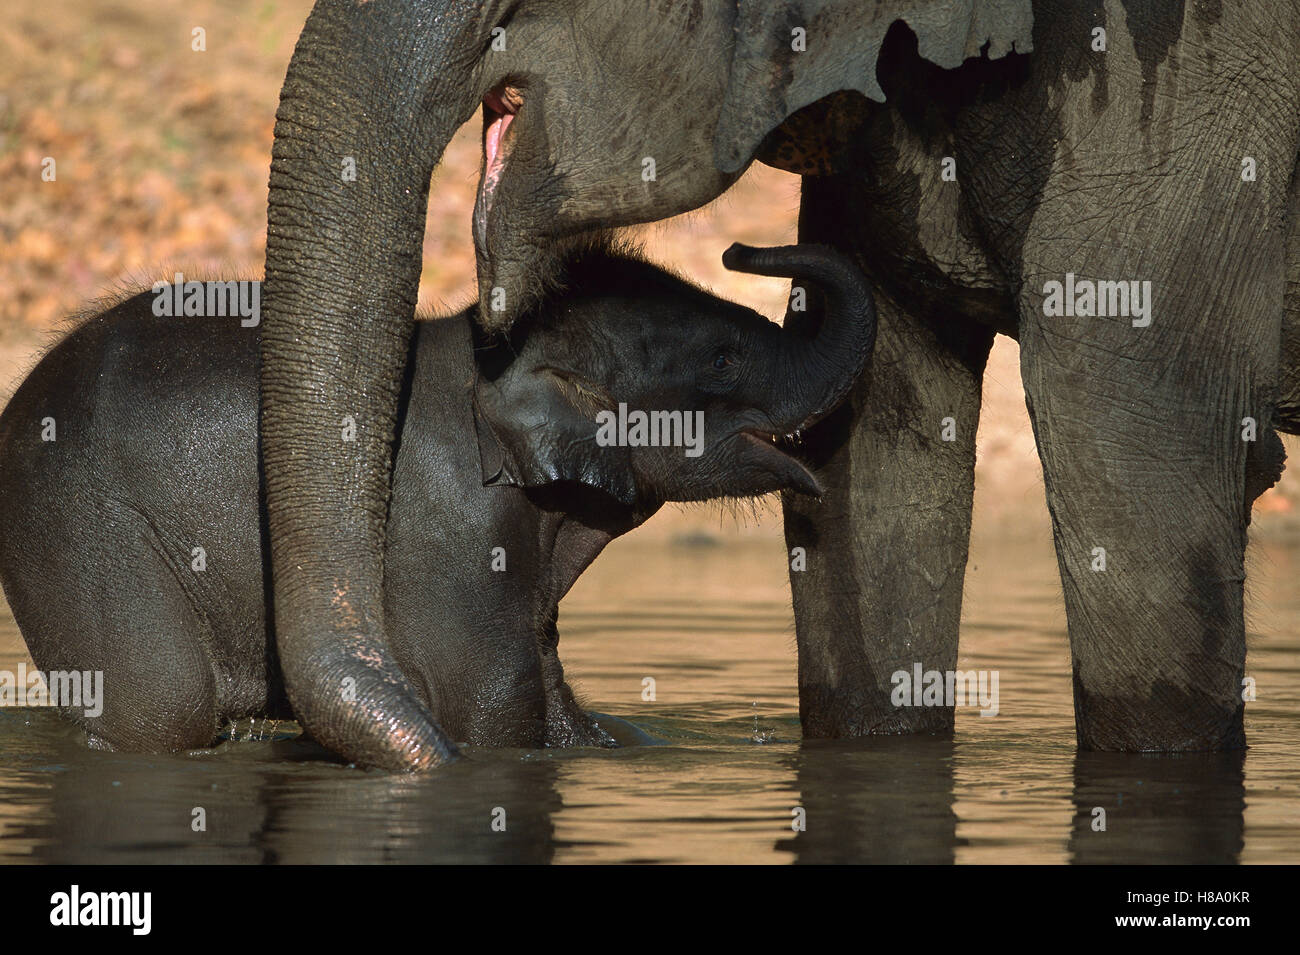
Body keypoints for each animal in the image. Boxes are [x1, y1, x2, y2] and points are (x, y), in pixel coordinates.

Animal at [0, 243, 876, 757]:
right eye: (723, 359)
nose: (742, 248)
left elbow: (557, 703)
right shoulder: (449, 525)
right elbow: (493, 704)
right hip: (79, 528)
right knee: (162, 708)